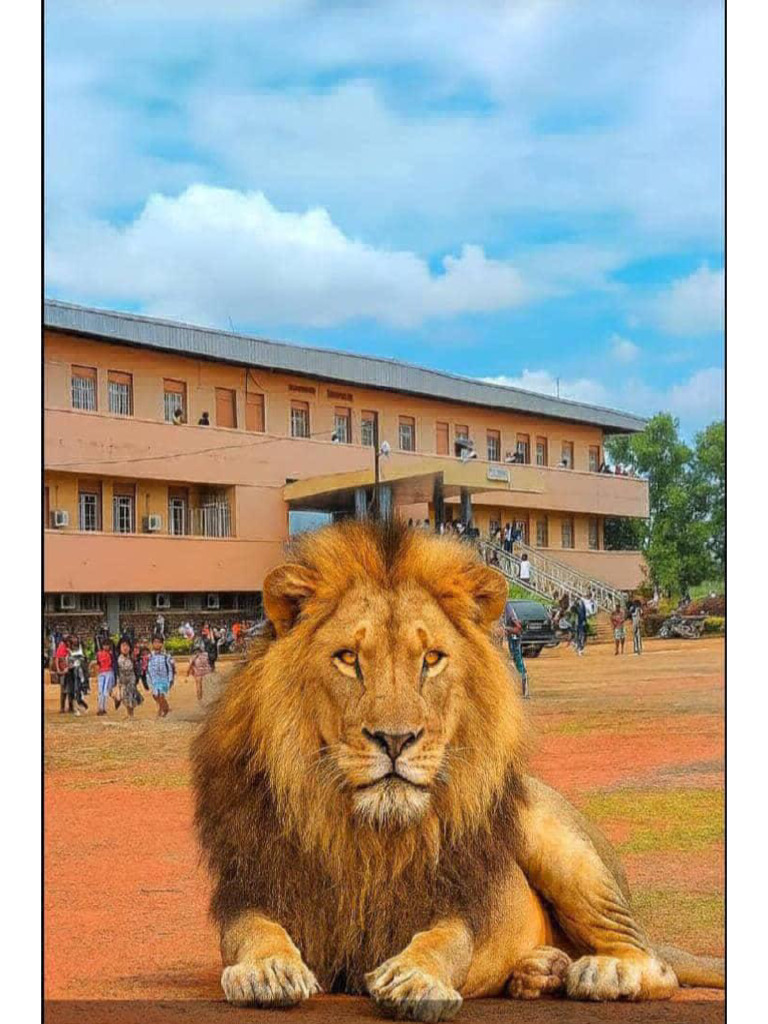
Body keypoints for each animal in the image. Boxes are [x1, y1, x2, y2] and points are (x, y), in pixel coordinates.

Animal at [192, 519, 723, 1020]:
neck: (368, 835)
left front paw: (414, 979)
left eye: (431, 659)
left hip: (562, 849)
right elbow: (252, 930)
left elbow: (444, 940)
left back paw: (602, 971)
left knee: (655, 962)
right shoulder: (253, 883)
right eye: (347, 659)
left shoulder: (456, 896)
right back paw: (541, 970)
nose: (395, 739)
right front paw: (269, 968)